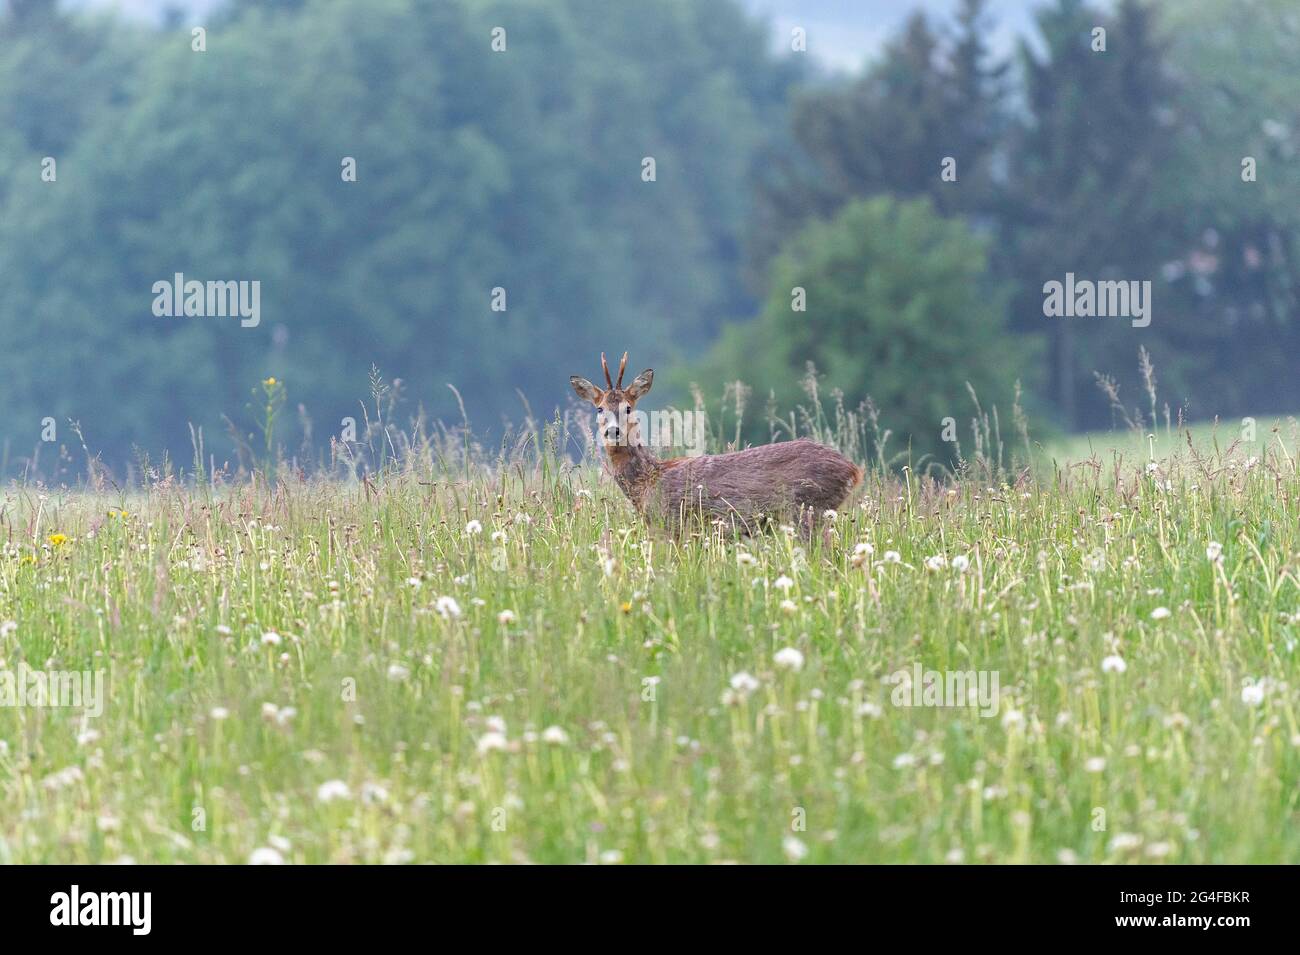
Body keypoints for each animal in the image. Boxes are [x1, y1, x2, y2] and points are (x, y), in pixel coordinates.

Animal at [570, 352, 862, 537]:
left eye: (628, 407)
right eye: (599, 408)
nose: (613, 431)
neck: (648, 481)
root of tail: (853, 470)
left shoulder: (674, 523)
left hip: (807, 508)